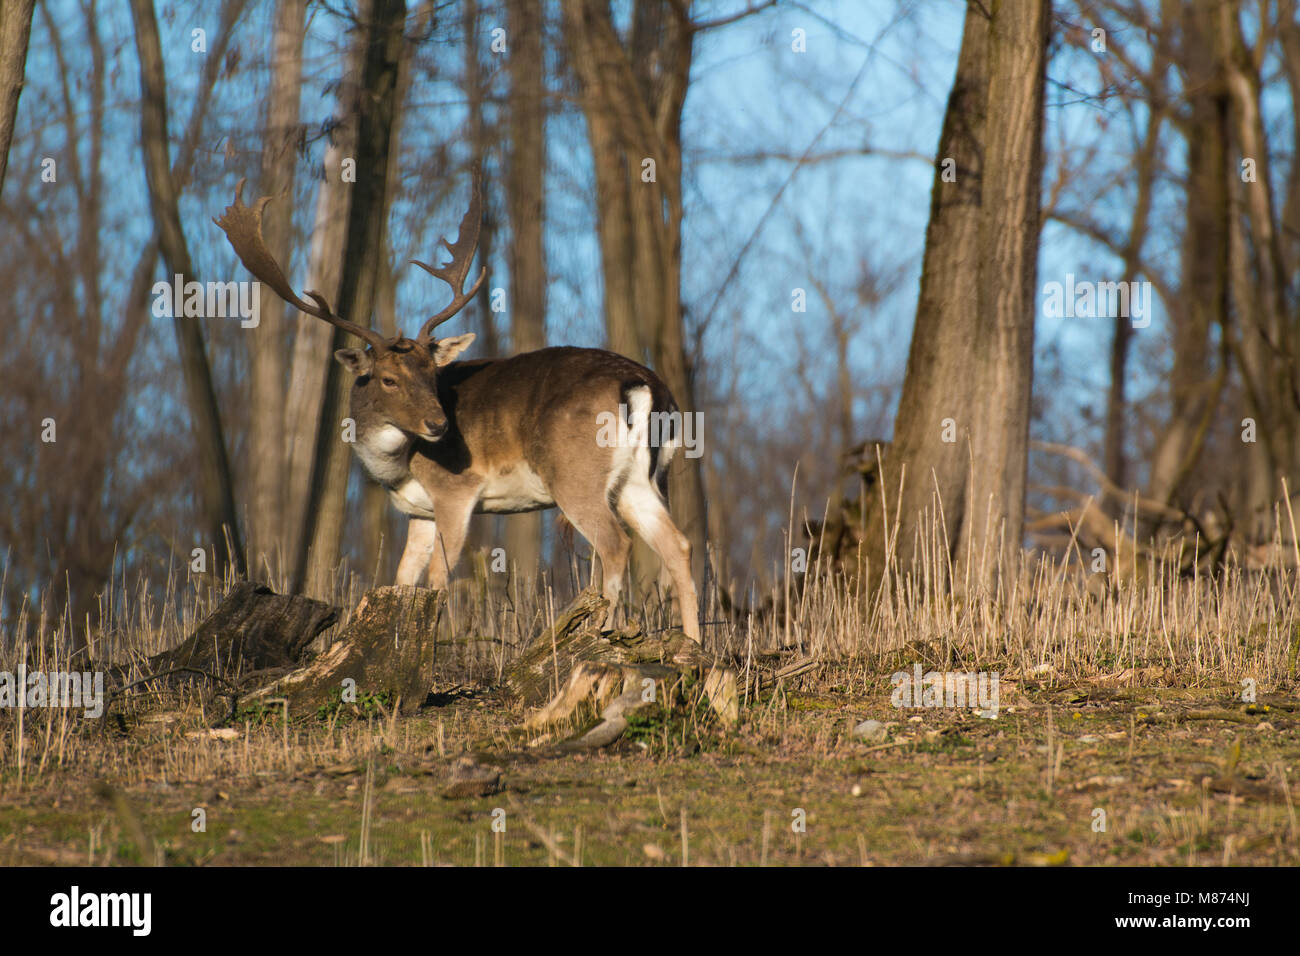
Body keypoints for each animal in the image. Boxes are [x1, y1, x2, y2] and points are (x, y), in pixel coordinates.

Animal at [214, 171, 701, 642]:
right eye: (389, 379)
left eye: (433, 373)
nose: (438, 425)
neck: (395, 467)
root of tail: (645, 385)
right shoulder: (419, 512)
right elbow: (402, 579)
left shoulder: (455, 489)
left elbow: (436, 580)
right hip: (640, 480)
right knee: (678, 545)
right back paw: (691, 645)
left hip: (574, 472)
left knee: (617, 544)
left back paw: (601, 632)